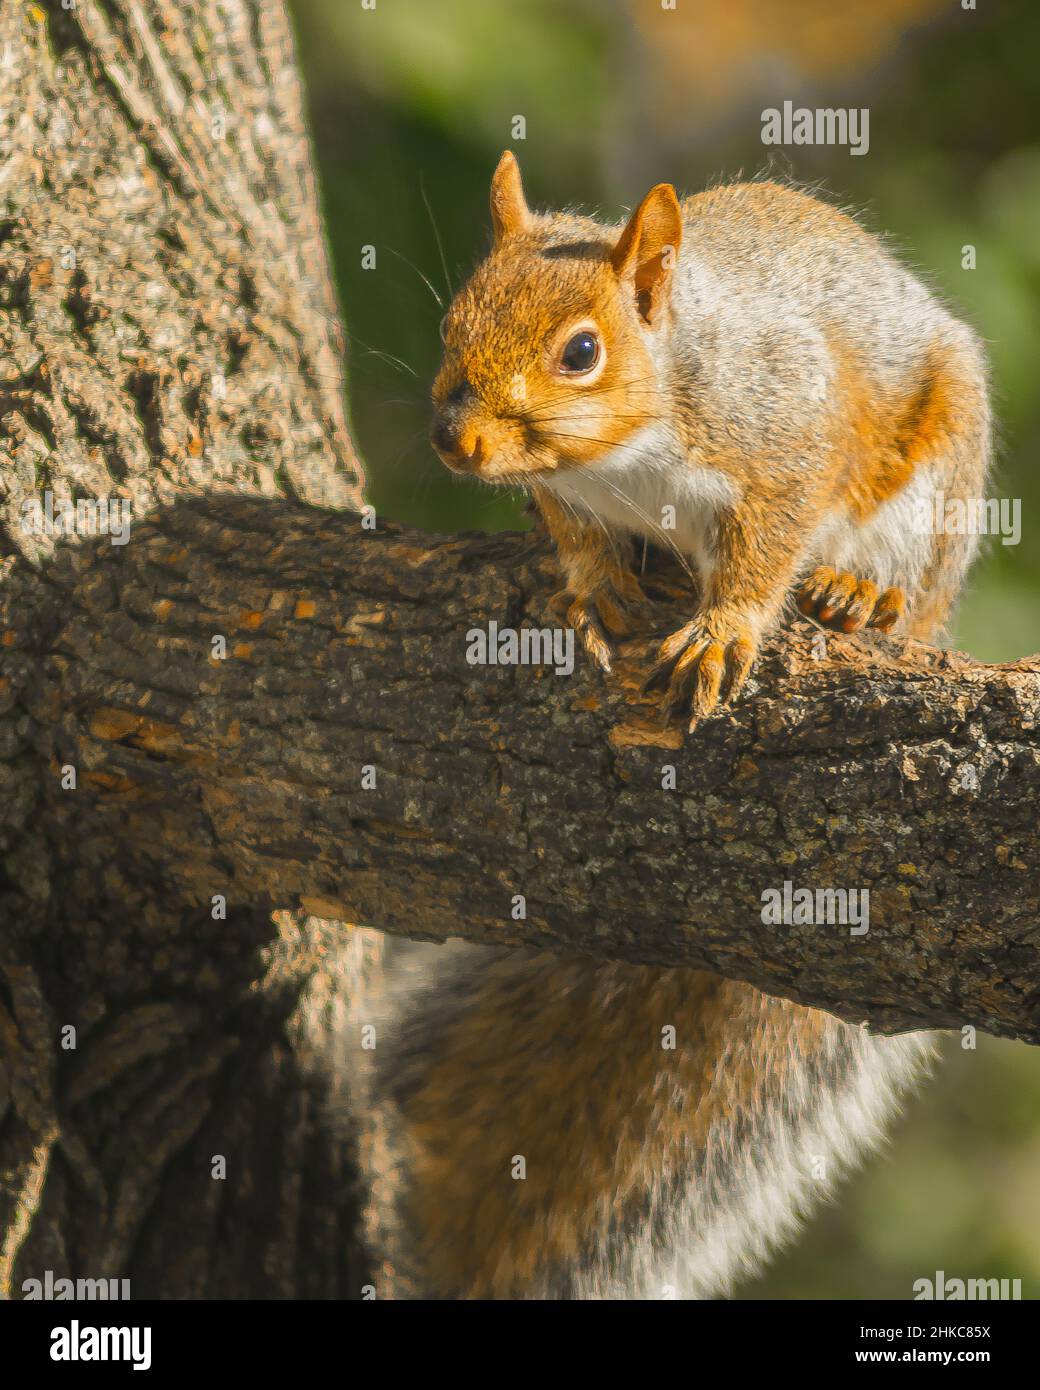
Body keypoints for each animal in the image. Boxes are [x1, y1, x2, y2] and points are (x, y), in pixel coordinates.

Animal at [370, 152, 992, 1299]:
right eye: (449, 319)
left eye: (581, 351)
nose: (452, 439)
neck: (629, 451)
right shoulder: (567, 495)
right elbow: (574, 540)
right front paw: (583, 592)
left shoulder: (784, 430)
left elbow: (770, 540)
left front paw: (725, 630)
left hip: (934, 483)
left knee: (901, 580)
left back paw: (859, 597)